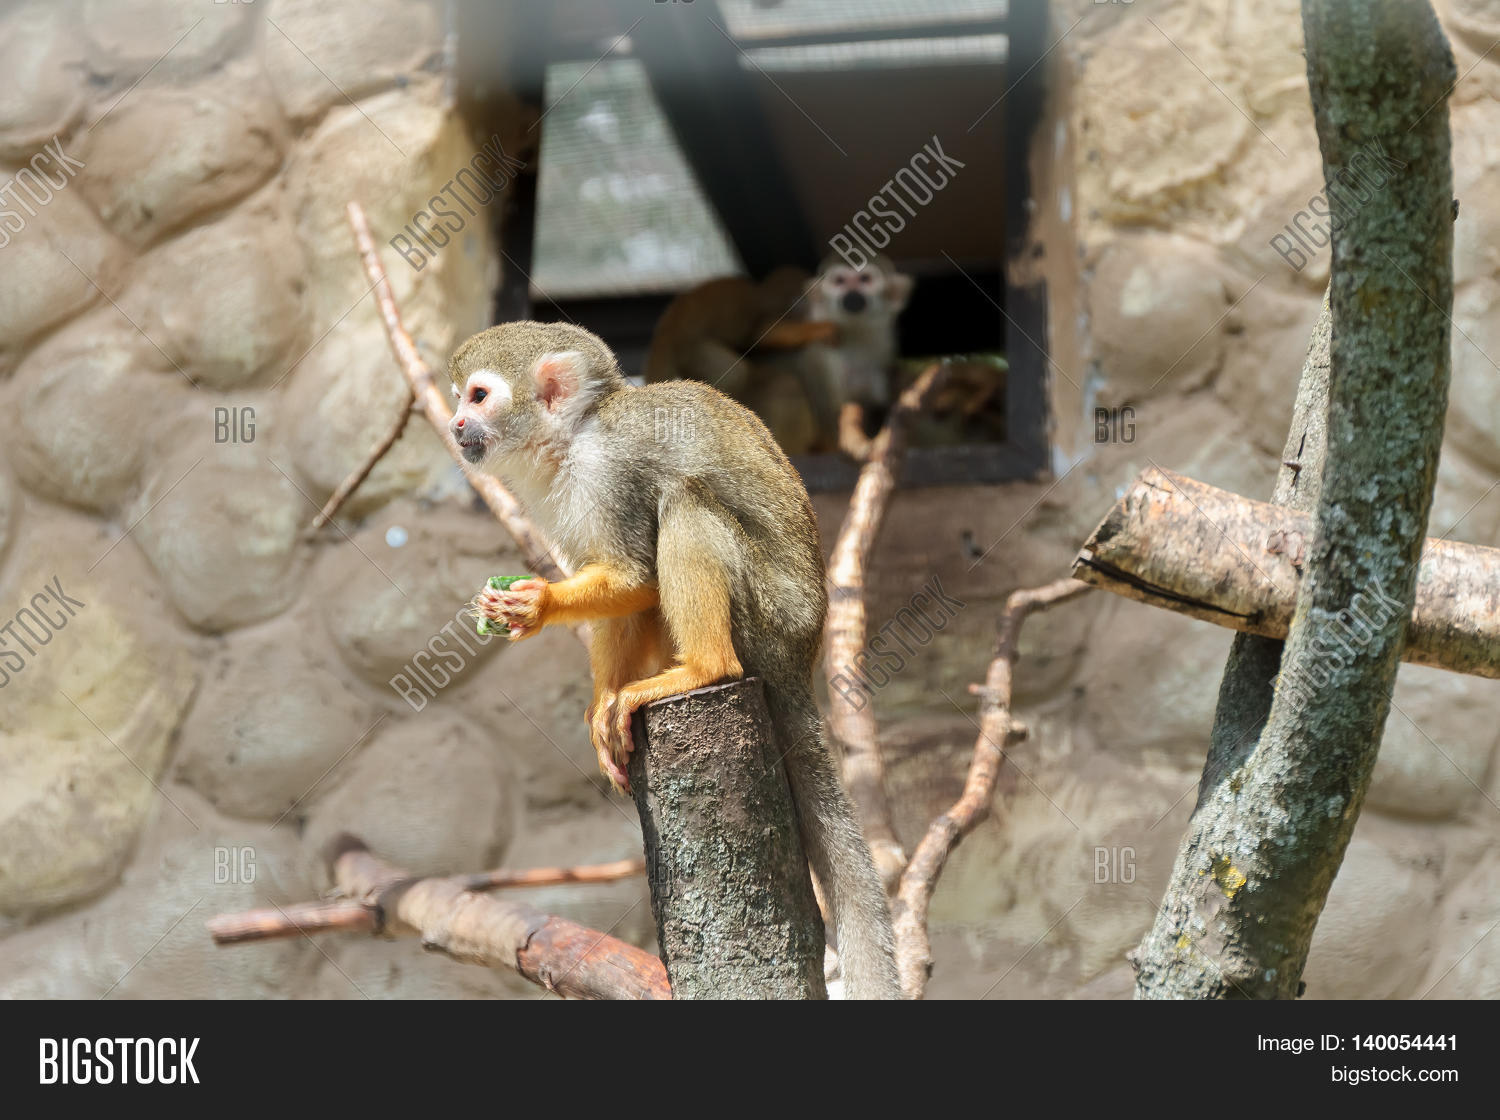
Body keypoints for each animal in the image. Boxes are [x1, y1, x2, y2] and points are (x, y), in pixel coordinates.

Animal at [448, 321, 901, 999]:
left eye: (478, 396)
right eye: (460, 398)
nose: (455, 423)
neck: (569, 443)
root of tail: (802, 655)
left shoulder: (608, 472)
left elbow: (634, 574)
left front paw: (538, 604)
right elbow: (623, 592)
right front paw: (600, 710)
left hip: (767, 619)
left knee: (685, 502)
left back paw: (704, 668)